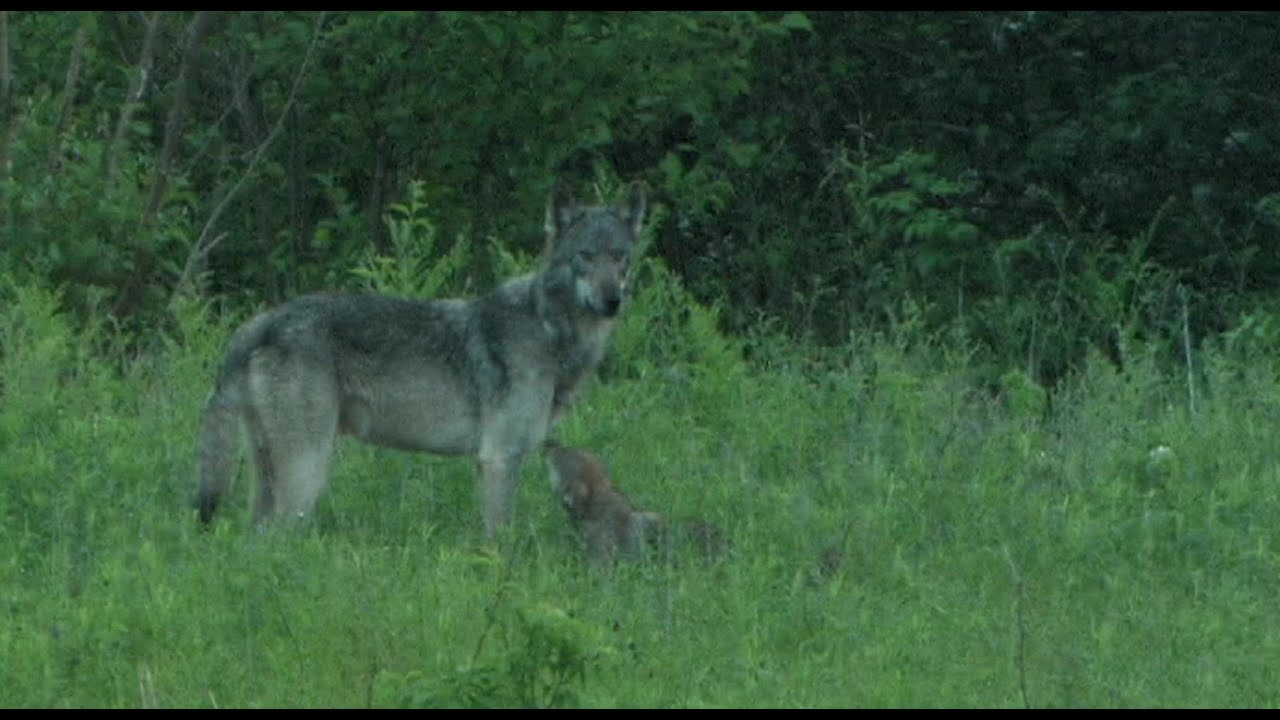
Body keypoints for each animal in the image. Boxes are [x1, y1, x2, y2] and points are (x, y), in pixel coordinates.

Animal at [196, 182, 647, 536]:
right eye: (585, 255)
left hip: (269, 473)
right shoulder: (500, 458)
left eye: (620, 257)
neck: (549, 328)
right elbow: (502, 540)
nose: (613, 300)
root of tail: (263, 322)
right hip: (307, 472)